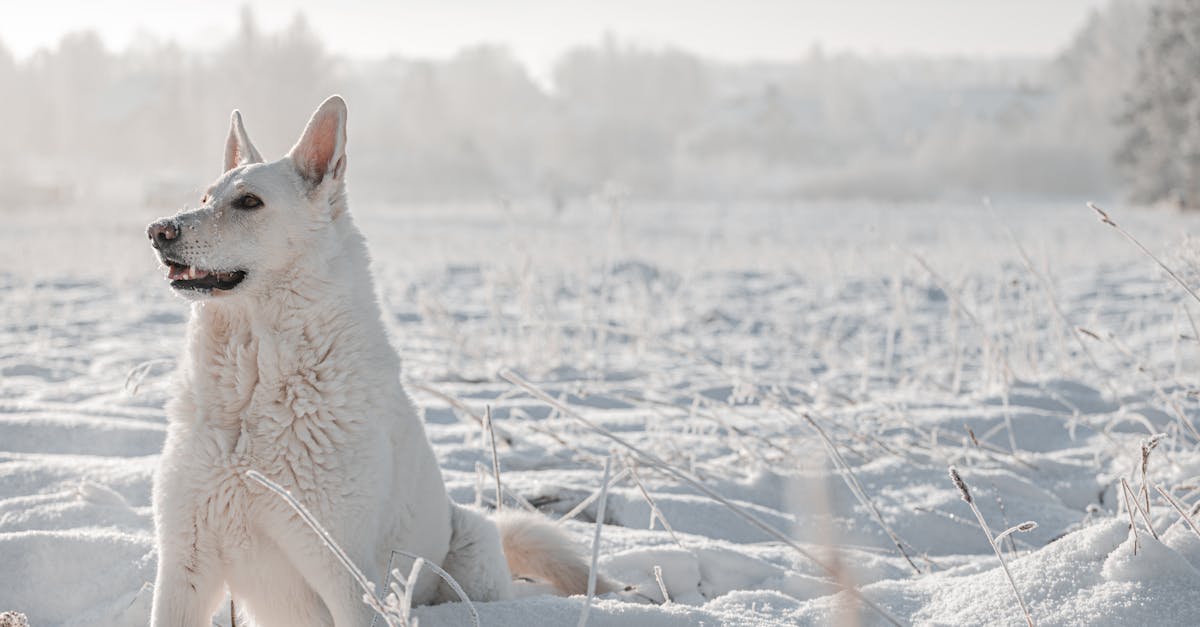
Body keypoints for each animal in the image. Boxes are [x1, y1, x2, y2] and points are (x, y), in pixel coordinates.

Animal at [148, 94, 614, 619]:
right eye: (206, 199)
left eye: (250, 202)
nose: (158, 231)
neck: (254, 381)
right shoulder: (184, 563)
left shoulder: (346, 572)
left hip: (468, 558)